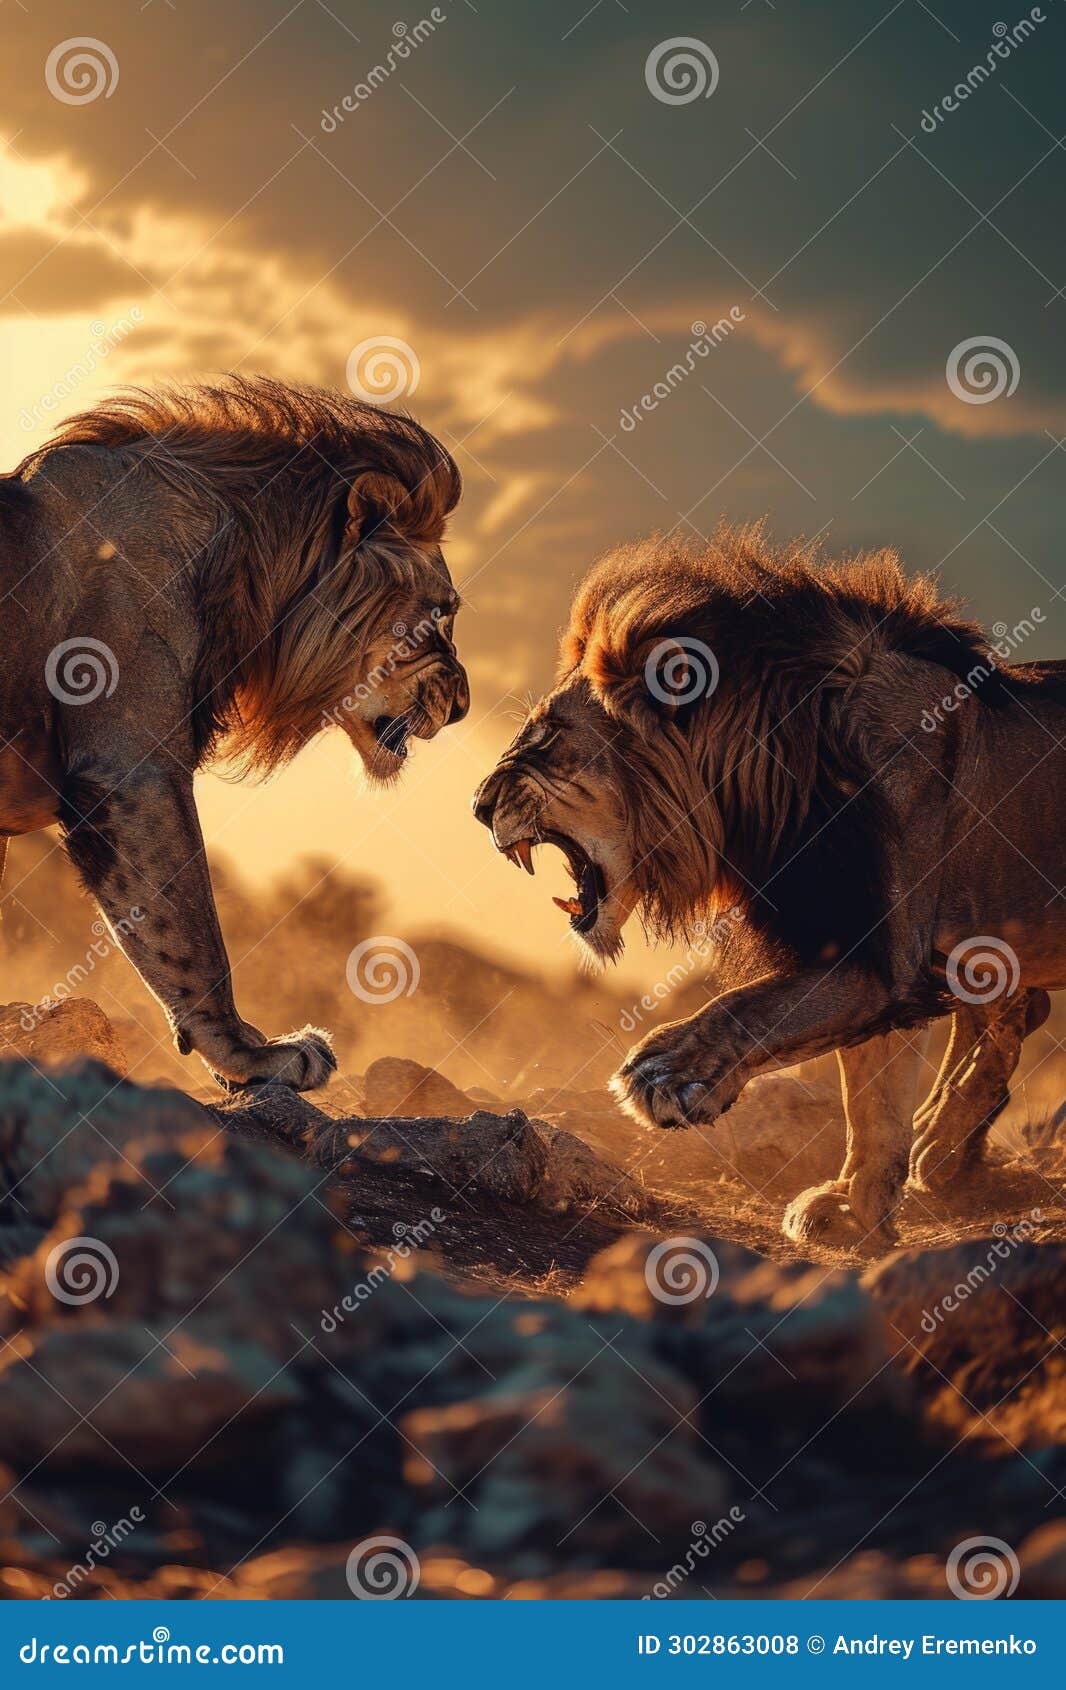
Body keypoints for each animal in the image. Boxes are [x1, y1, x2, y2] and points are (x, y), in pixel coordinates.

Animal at [472, 524, 1064, 1248]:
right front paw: (856, 1208)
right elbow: (871, 1097)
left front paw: (667, 1073)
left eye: (549, 738)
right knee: (1010, 1014)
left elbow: (753, 1009)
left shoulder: (880, 957)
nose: (476, 805)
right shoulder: (873, 955)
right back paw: (940, 1151)